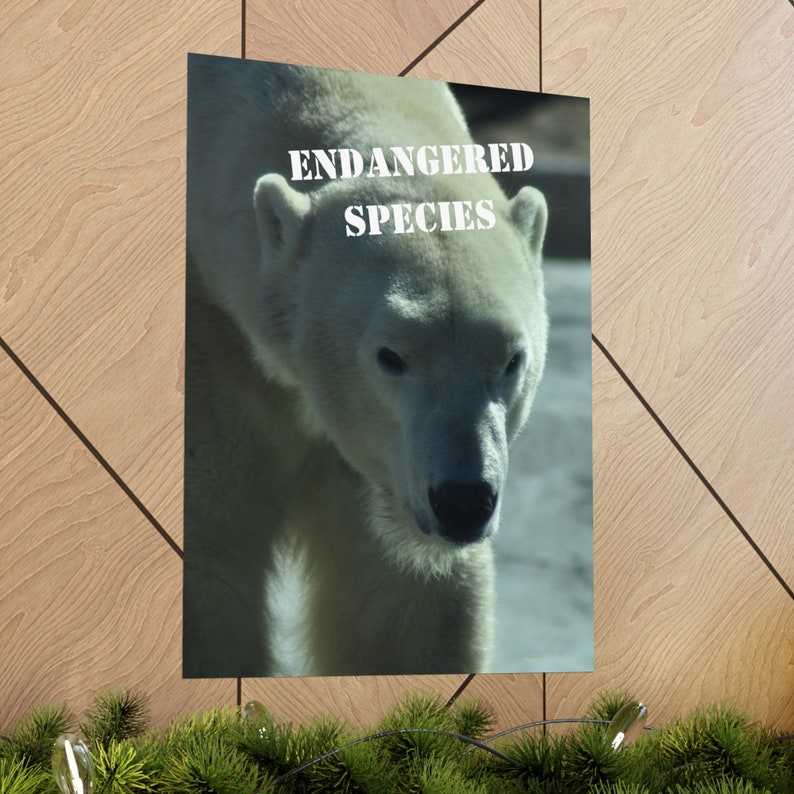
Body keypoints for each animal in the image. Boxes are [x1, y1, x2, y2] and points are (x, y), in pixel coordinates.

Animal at [183, 53, 548, 678]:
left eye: (511, 358)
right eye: (391, 356)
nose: (463, 501)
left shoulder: (386, 467)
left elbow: (404, 599)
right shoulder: (218, 347)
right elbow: (213, 560)